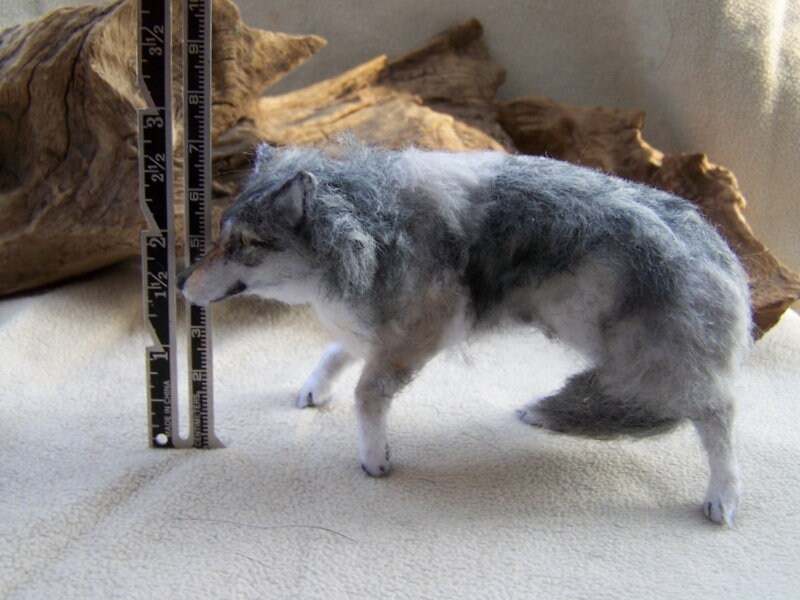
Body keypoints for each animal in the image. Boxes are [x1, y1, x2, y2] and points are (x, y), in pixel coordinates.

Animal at [178, 141, 752, 525]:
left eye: (244, 243)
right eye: (219, 236)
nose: (179, 284)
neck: (370, 226)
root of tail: (721, 255)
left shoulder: (409, 343)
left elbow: (367, 396)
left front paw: (374, 458)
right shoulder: (376, 333)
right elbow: (334, 353)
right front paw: (314, 390)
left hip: (653, 364)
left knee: (719, 415)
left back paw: (723, 496)